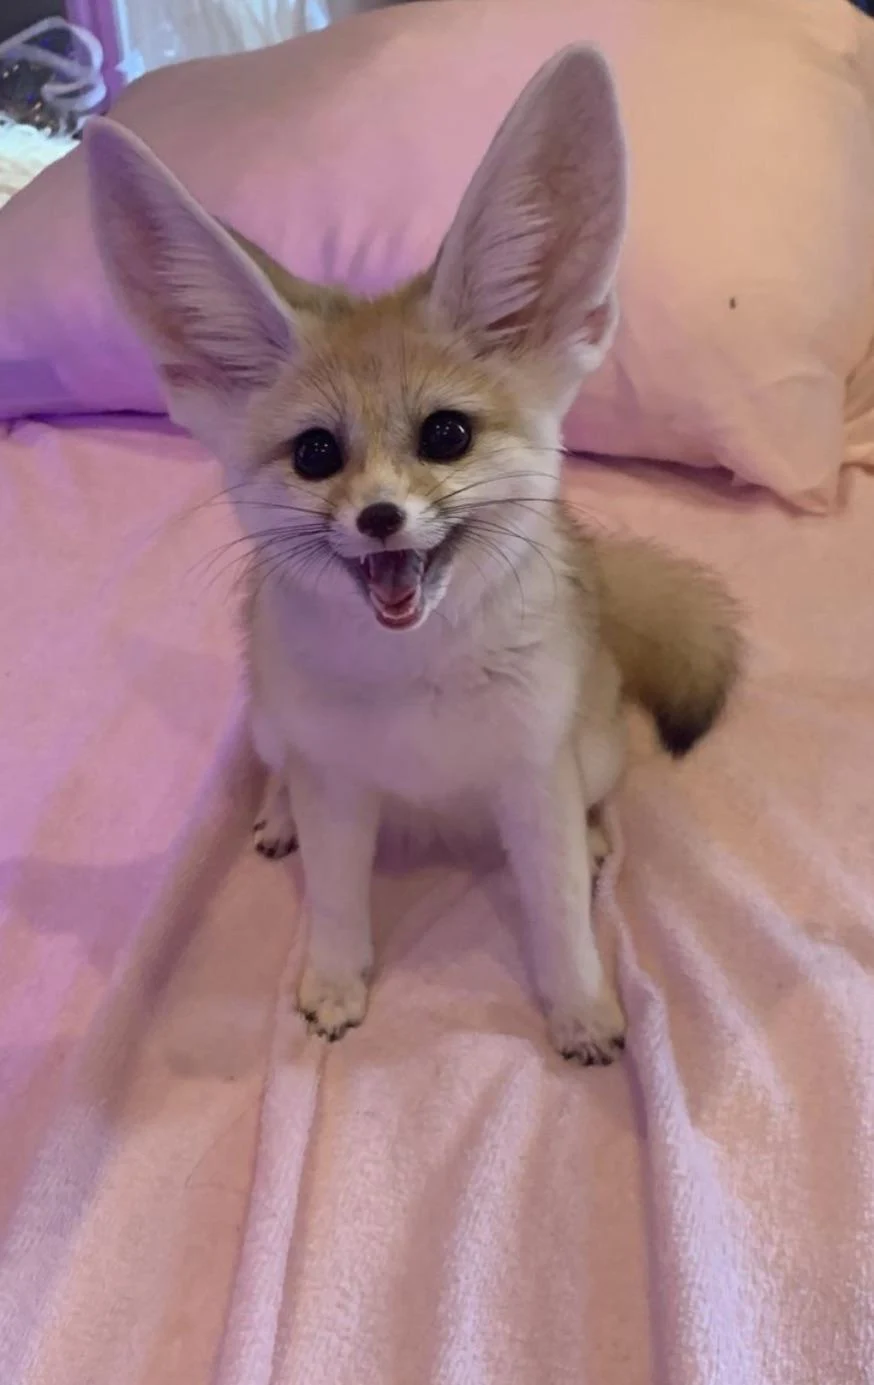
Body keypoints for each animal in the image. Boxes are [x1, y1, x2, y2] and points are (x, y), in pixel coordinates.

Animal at [84, 46, 740, 1065]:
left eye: (446, 435)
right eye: (317, 453)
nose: (381, 517)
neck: (418, 684)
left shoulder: (532, 776)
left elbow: (559, 908)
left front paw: (581, 1005)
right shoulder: (338, 784)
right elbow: (335, 902)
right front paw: (334, 982)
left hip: (591, 749)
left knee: (589, 807)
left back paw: (598, 839)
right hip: (270, 722)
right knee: (279, 769)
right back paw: (276, 817)